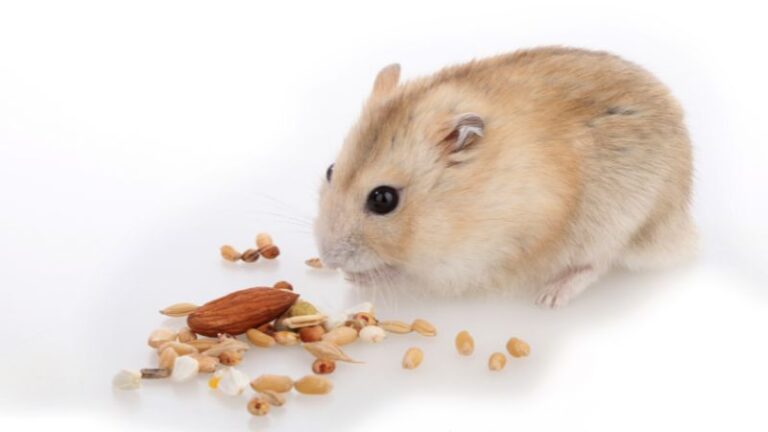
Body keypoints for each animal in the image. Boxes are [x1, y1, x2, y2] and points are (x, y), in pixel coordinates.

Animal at [314, 47, 696, 308]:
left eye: (383, 199)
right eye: (331, 171)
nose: (328, 259)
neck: (453, 206)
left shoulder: (480, 259)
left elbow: (409, 272)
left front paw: (357, 274)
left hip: (614, 225)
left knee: (596, 264)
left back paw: (550, 297)